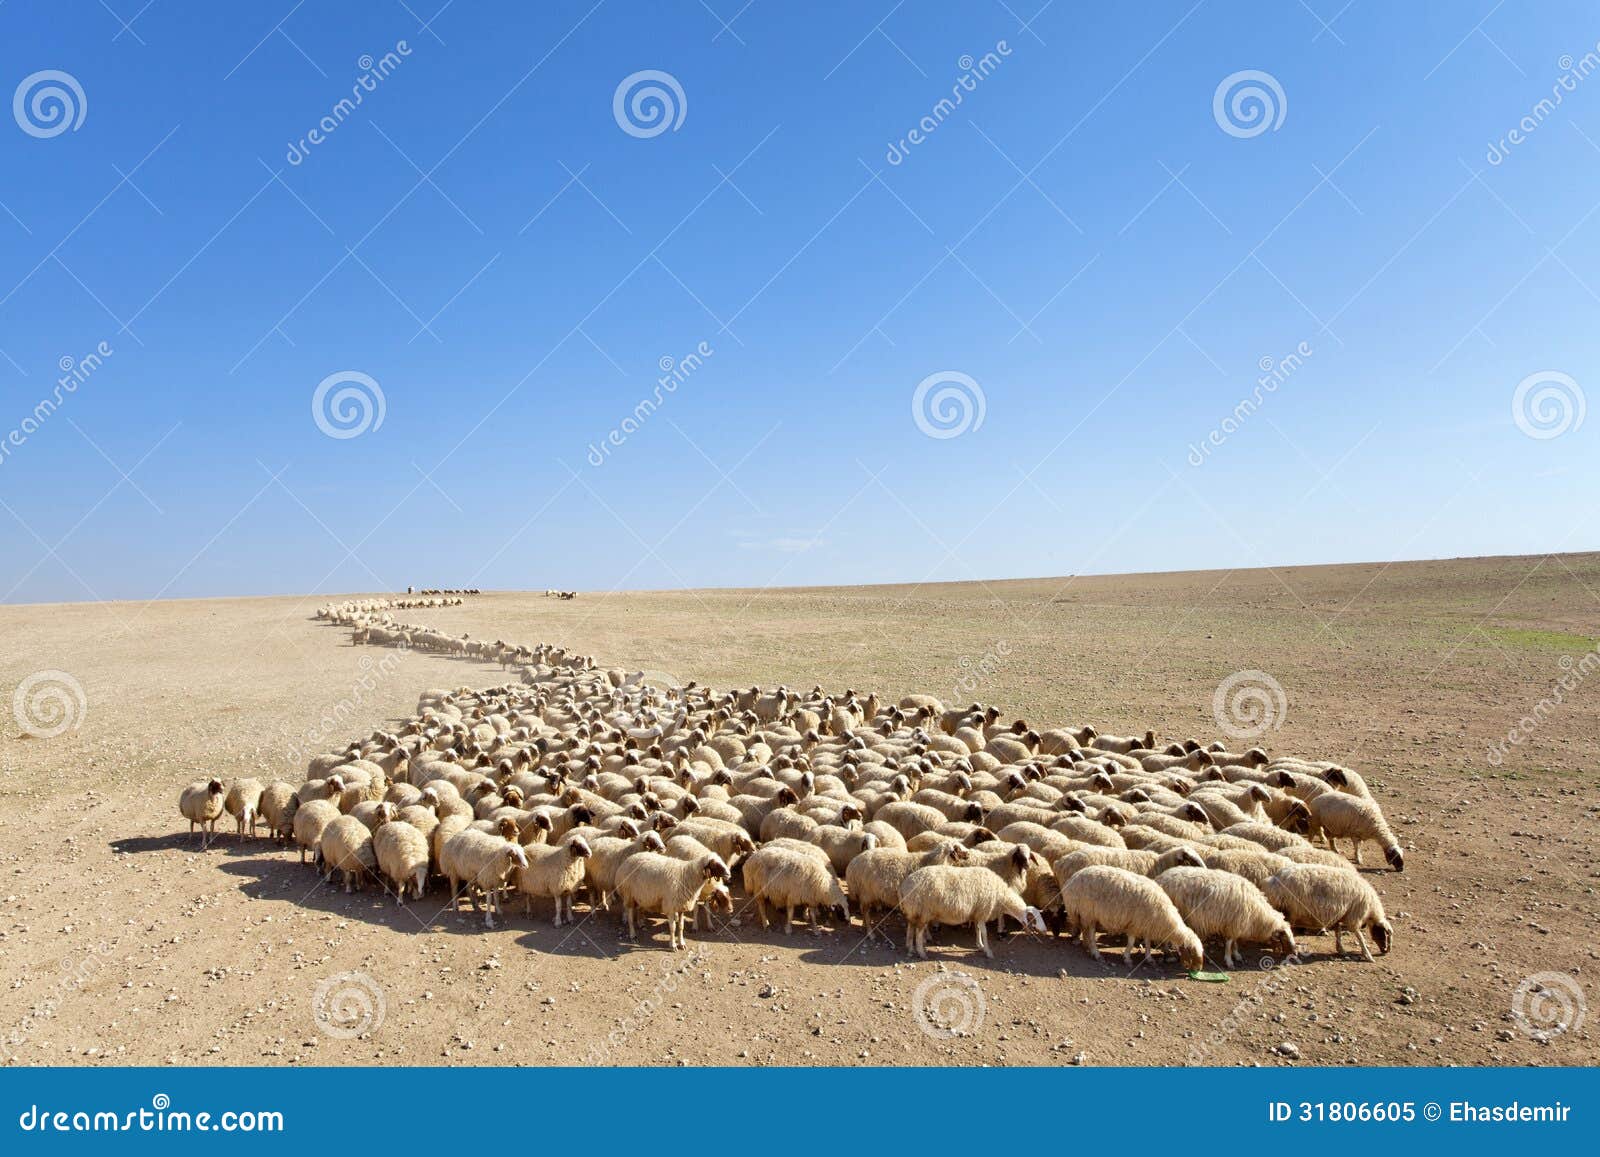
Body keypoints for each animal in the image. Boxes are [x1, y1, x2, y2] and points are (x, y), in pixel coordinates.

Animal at [897, 865, 1047, 958]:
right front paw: (988, 951)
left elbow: (977, 930)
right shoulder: (983, 912)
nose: (1045, 931)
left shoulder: (977, 913)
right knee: (918, 932)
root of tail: (904, 886)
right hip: (923, 911)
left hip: (913, 911)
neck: (1001, 896)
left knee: (910, 927)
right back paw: (921, 952)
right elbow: (984, 932)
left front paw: (979, 945)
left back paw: (910, 948)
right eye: (1034, 919)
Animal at [1058, 865, 1203, 970]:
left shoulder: (1146, 925)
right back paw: (1096, 953)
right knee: (1091, 933)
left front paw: (1149, 958)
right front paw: (1127, 958)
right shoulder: (1135, 925)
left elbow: (1148, 942)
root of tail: (1072, 879)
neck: (1165, 918)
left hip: (1085, 915)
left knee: (1085, 931)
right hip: (1088, 913)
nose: (1198, 970)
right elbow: (1132, 942)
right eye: (1192, 953)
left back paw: (1087, 946)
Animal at [1153, 866, 1295, 967]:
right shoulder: (1233, 923)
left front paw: (1237, 955)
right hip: (1167, 914)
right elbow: (1229, 943)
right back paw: (1168, 954)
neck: (1258, 914)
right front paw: (1229, 960)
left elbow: (1235, 942)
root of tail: (1160, 878)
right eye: (1285, 937)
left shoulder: (1237, 924)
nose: (1294, 955)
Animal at [1262, 864, 1393, 961]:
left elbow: (1338, 932)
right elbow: (1359, 936)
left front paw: (1341, 950)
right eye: (1385, 934)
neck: (1371, 910)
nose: (1385, 950)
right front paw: (1368, 955)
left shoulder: (1340, 916)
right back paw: (1289, 948)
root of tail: (1271, 880)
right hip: (1288, 910)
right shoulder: (1354, 916)